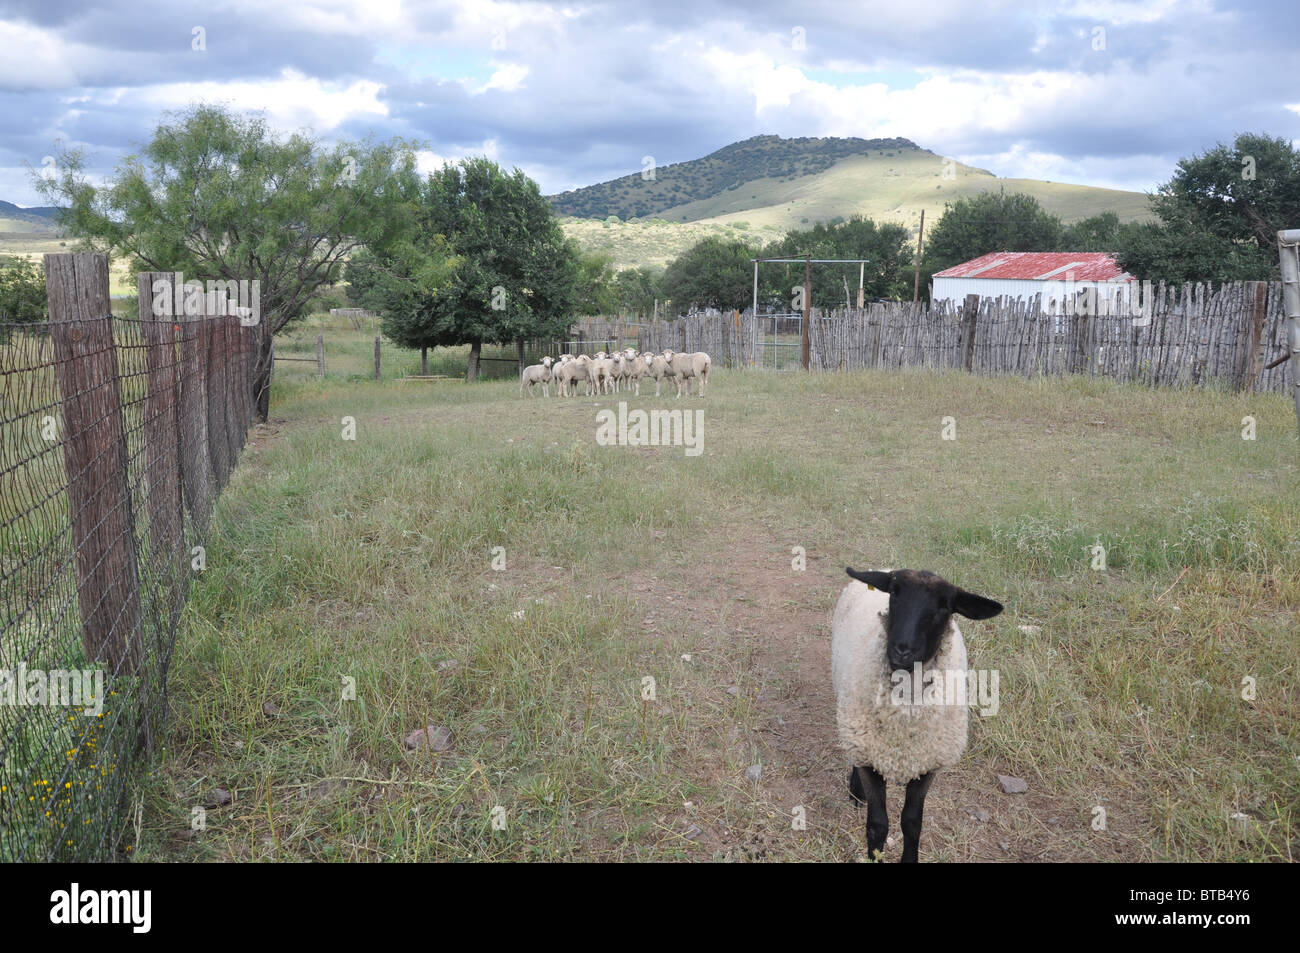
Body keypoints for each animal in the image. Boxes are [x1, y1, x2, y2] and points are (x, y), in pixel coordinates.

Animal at [831, 567, 1002, 862]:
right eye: (894, 592)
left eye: (945, 606)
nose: (901, 649)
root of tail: (882, 566)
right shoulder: (870, 755)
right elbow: (877, 824)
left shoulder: (928, 764)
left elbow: (912, 822)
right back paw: (856, 792)